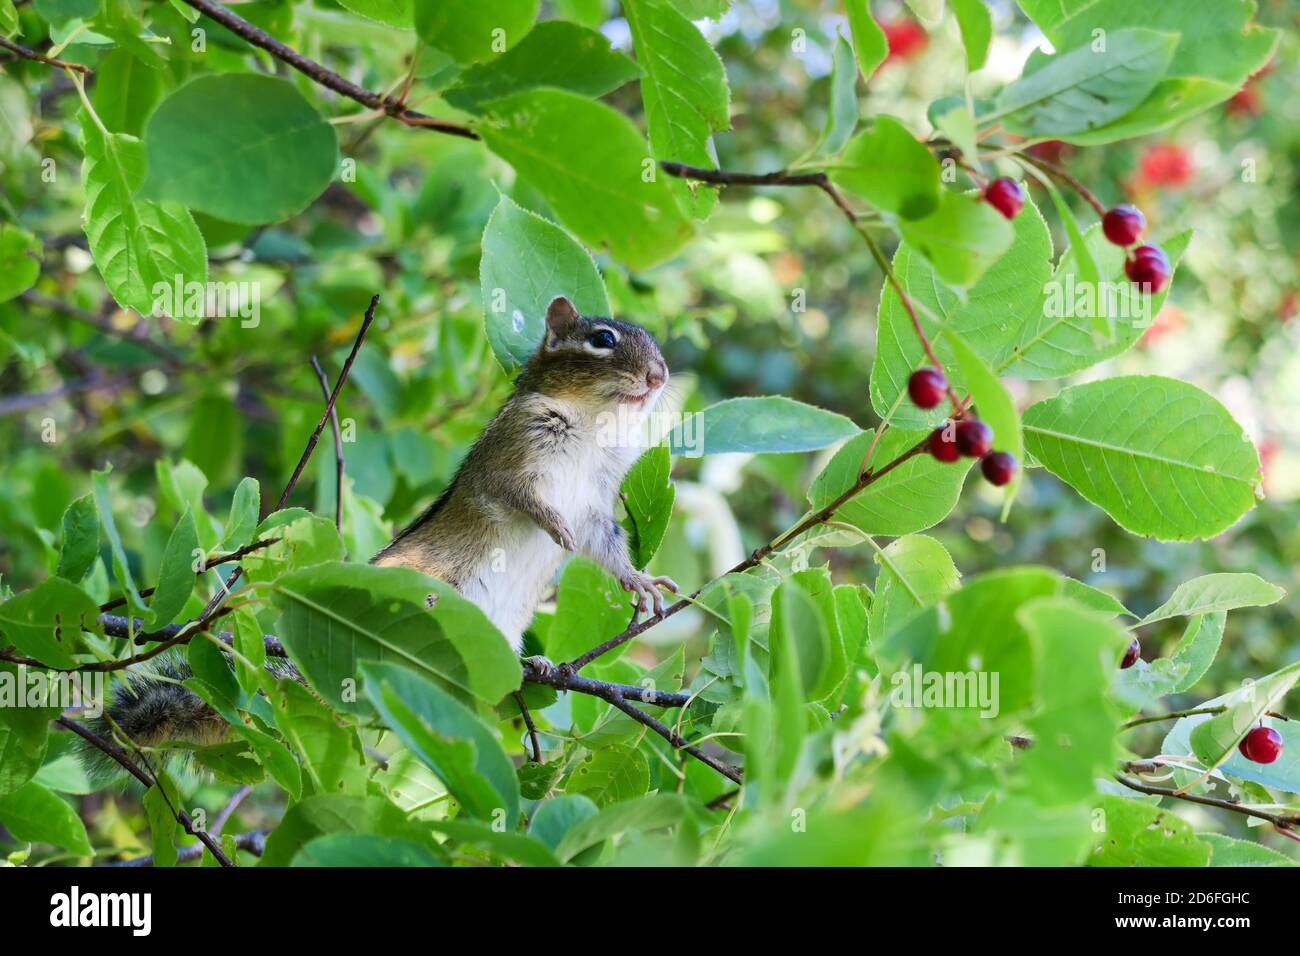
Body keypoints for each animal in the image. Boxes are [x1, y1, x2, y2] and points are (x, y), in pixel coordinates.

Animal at [84, 296, 677, 773]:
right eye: (603, 340)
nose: (660, 375)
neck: (593, 423)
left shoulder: (598, 504)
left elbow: (606, 546)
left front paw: (640, 582)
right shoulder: (512, 451)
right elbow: (517, 494)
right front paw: (553, 526)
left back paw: (531, 664)